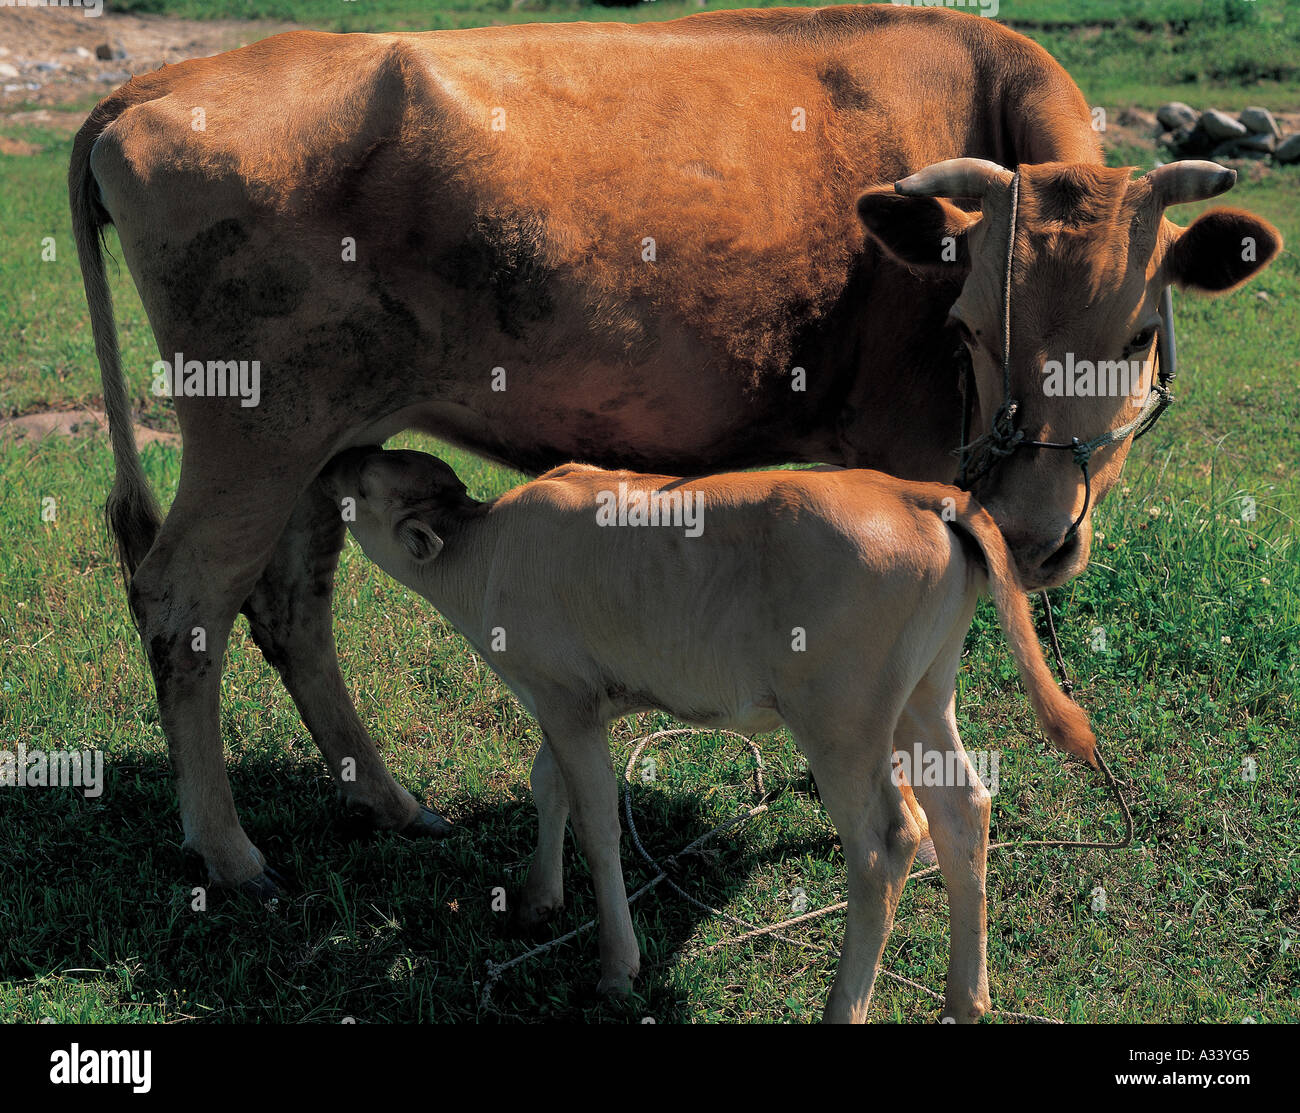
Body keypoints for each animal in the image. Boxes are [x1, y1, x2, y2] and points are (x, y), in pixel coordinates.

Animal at [69, 5, 1279, 892]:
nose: (1034, 530)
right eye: (970, 325)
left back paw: (388, 801)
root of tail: (155, 84)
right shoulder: (906, 446)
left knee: (291, 605)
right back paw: (230, 852)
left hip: (324, 437)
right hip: (251, 432)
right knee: (182, 601)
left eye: (1138, 333)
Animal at [317, 446, 1097, 1022]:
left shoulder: (564, 698)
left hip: (840, 717)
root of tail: (917, 492)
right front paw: (539, 897)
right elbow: (548, 786)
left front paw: (616, 967)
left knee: (886, 841)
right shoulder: (567, 699)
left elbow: (597, 820)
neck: (483, 551)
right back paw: (966, 997)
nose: (333, 460)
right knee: (964, 808)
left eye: (361, 482)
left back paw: (843, 1006)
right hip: (923, 695)